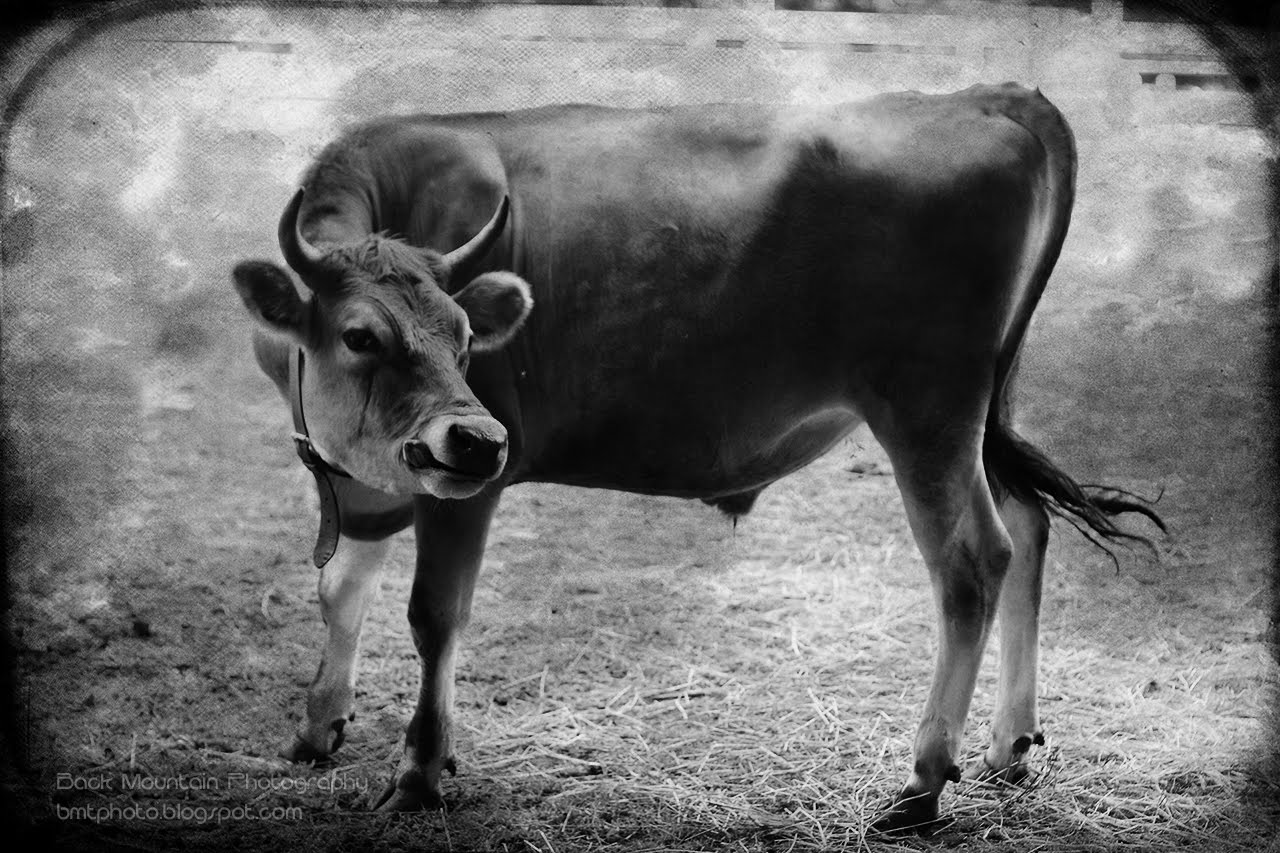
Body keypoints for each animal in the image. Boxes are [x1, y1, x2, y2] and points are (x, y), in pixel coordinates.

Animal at [231, 83, 1162, 833]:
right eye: (360, 335)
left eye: (466, 339)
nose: (480, 437)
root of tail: (985, 97)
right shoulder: (374, 477)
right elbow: (341, 587)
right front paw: (319, 724)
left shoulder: (456, 485)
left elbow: (431, 615)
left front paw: (420, 771)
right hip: (984, 408)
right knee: (1028, 523)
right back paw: (1008, 744)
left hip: (927, 411)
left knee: (973, 561)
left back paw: (922, 784)